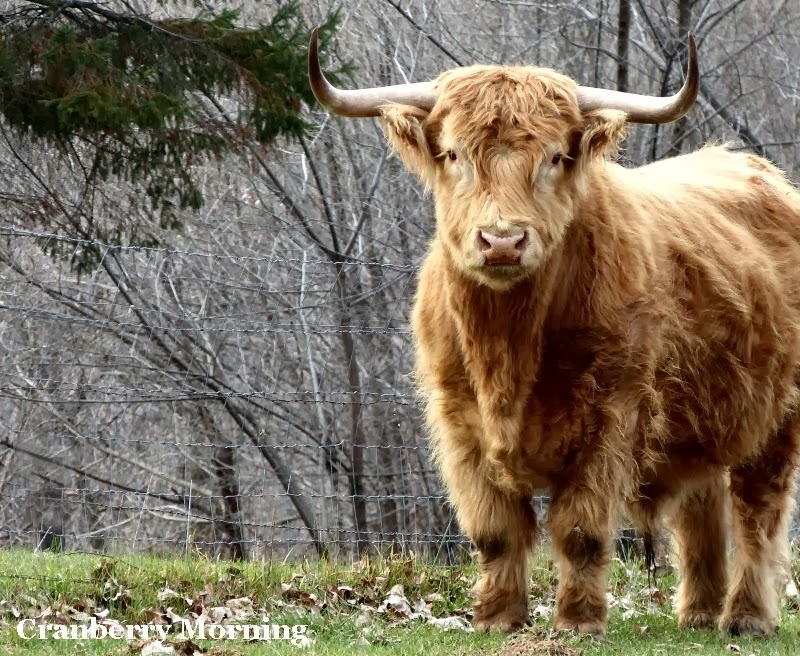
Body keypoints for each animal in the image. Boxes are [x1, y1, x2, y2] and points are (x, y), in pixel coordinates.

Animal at [308, 30, 800, 637]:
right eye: (454, 154)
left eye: (556, 157)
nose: (501, 240)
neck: (508, 349)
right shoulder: (458, 421)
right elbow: (495, 532)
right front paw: (498, 617)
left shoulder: (611, 415)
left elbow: (579, 530)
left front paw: (577, 621)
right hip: (698, 420)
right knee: (700, 507)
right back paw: (698, 614)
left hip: (778, 413)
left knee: (758, 513)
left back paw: (746, 617)